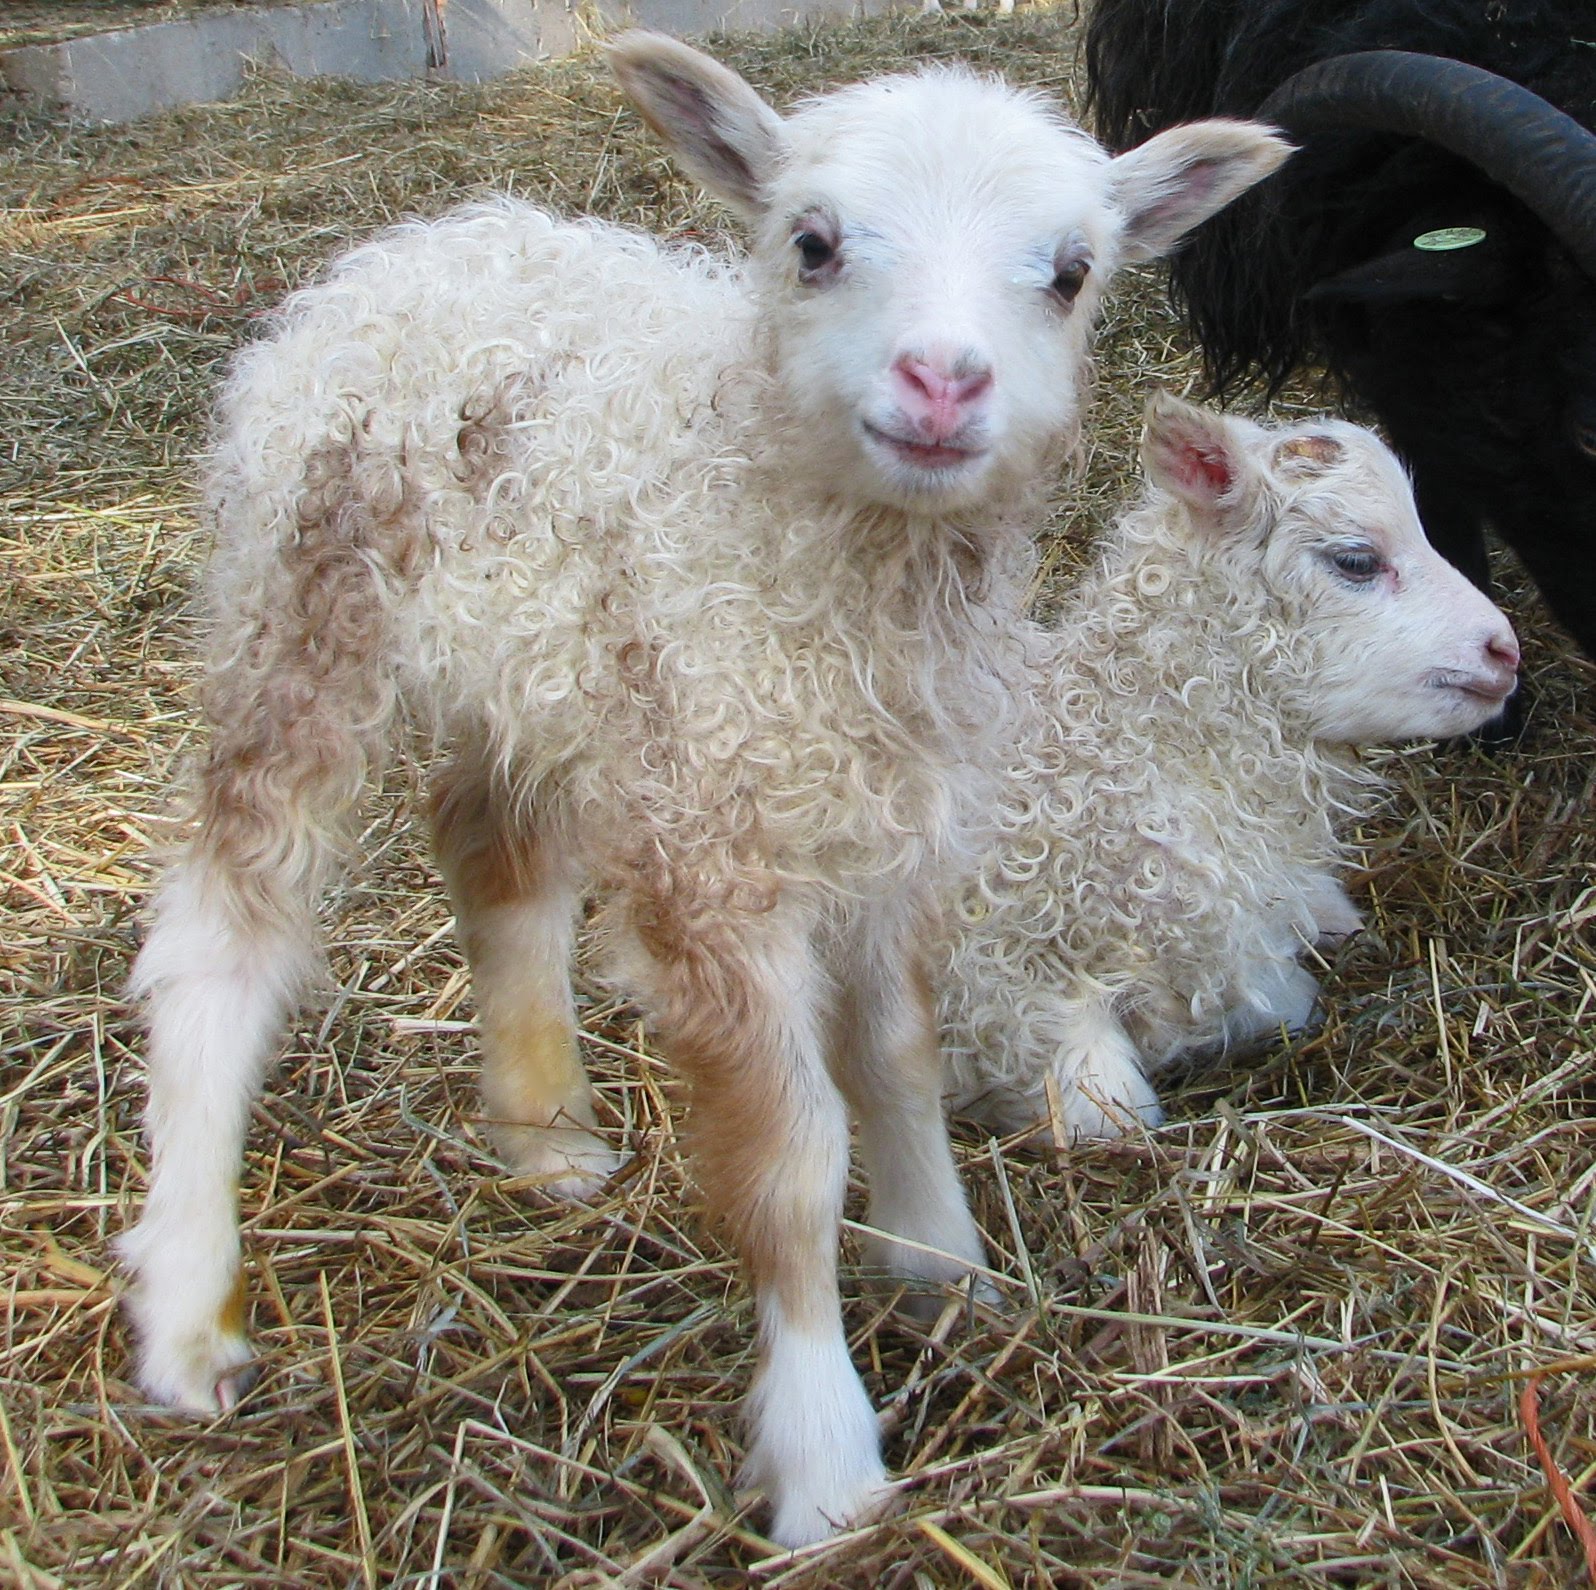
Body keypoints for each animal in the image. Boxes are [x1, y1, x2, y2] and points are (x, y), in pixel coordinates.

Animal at [114, 33, 1289, 1546]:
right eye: (814, 241)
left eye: (1073, 271)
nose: (943, 381)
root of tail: (424, 243)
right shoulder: (715, 841)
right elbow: (790, 1161)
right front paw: (828, 1456)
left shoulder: (890, 822)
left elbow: (900, 1059)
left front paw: (944, 1266)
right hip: (305, 617)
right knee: (224, 931)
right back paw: (187, 1310)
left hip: (549, 680)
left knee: (493, 852)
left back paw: (545, 1131)